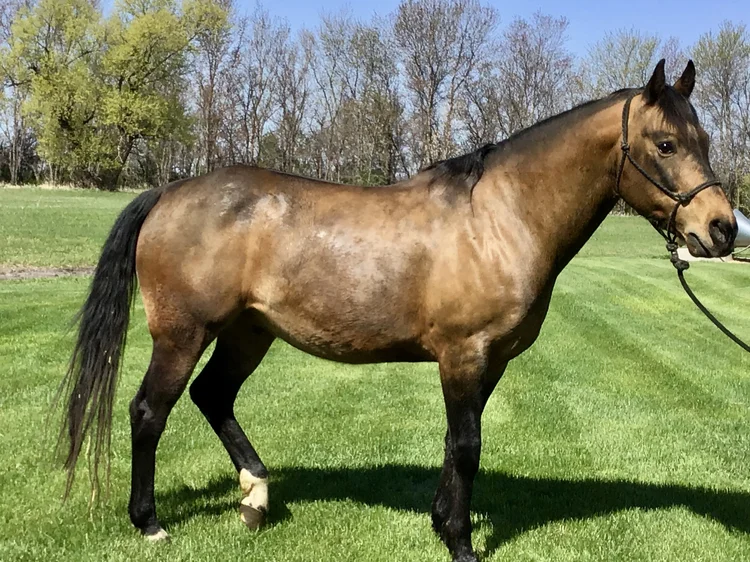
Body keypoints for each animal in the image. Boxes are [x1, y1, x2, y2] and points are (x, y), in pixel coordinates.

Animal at [59, 60, 737, 562]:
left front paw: (441, 523)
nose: (723, 229)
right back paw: (149, 522)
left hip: (249, 333)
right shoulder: (463, 355)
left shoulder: (486, 363)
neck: (498, 217)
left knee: (213, 397)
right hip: (184, 333)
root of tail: (168, 191)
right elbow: (467, 444)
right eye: (666, 143)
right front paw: (461, 543)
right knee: (150, 412)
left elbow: (455, 442)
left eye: (702, 141)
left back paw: (255, 496)